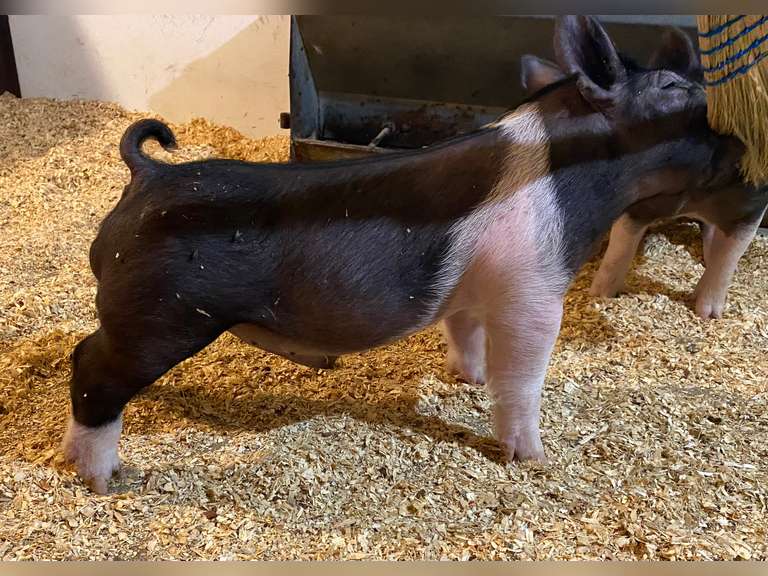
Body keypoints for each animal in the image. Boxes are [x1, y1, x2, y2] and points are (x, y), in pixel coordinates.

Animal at [520, 29, 768, 320]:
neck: (686, 189)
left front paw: (708, 314)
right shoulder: (635, 205)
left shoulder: (753, 201)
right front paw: (600, 295)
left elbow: (728, 255)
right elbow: (620, 247)